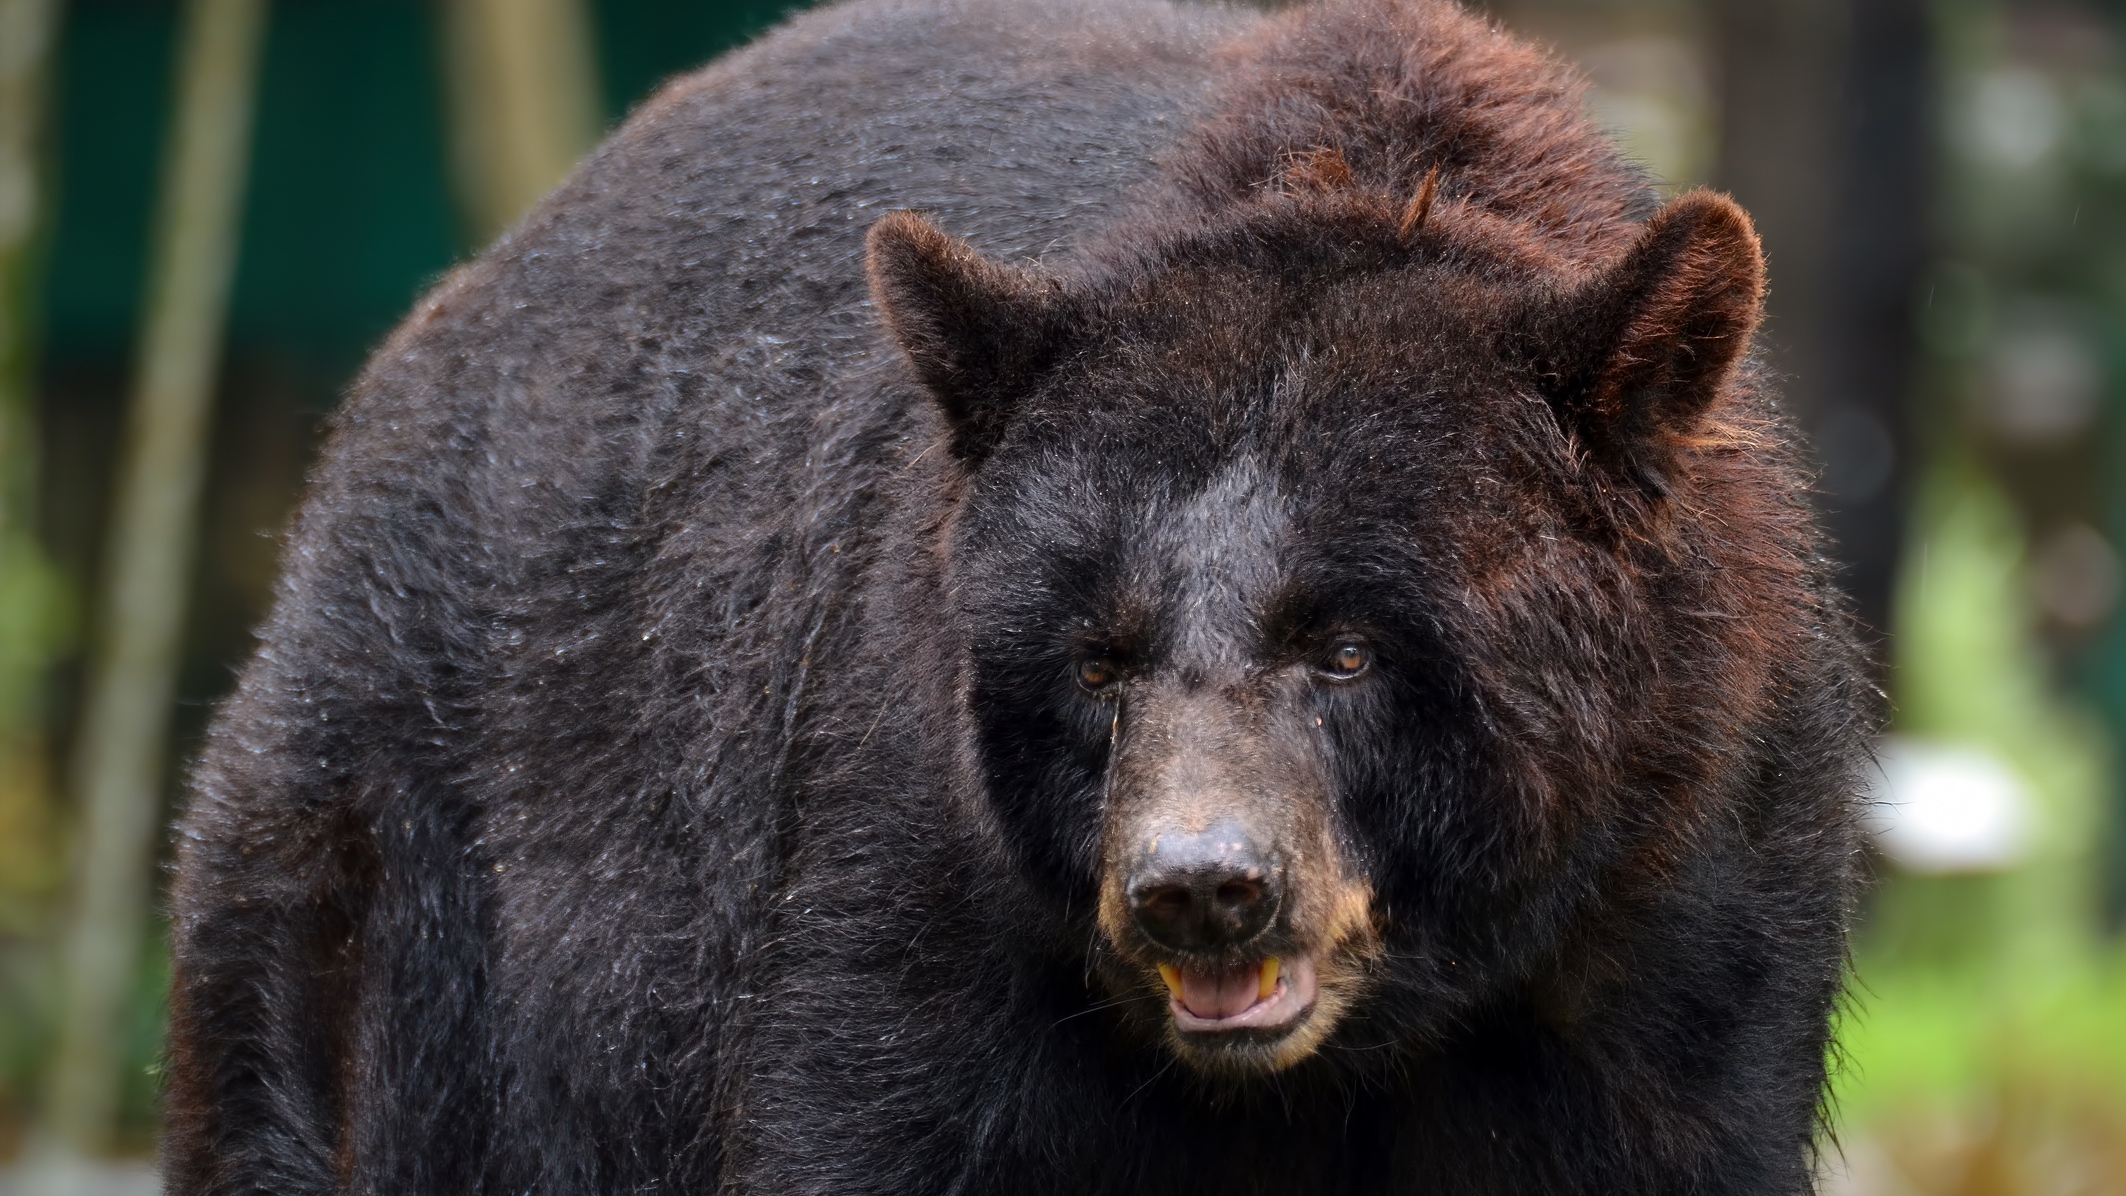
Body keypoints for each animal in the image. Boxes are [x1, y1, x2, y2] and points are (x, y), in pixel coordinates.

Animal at [163, 0, 1873, 1191]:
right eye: (1095, 656)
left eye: (1346, 644)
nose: (1202, 886)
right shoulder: (918, 877)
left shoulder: (1672, 927)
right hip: (403, 876)